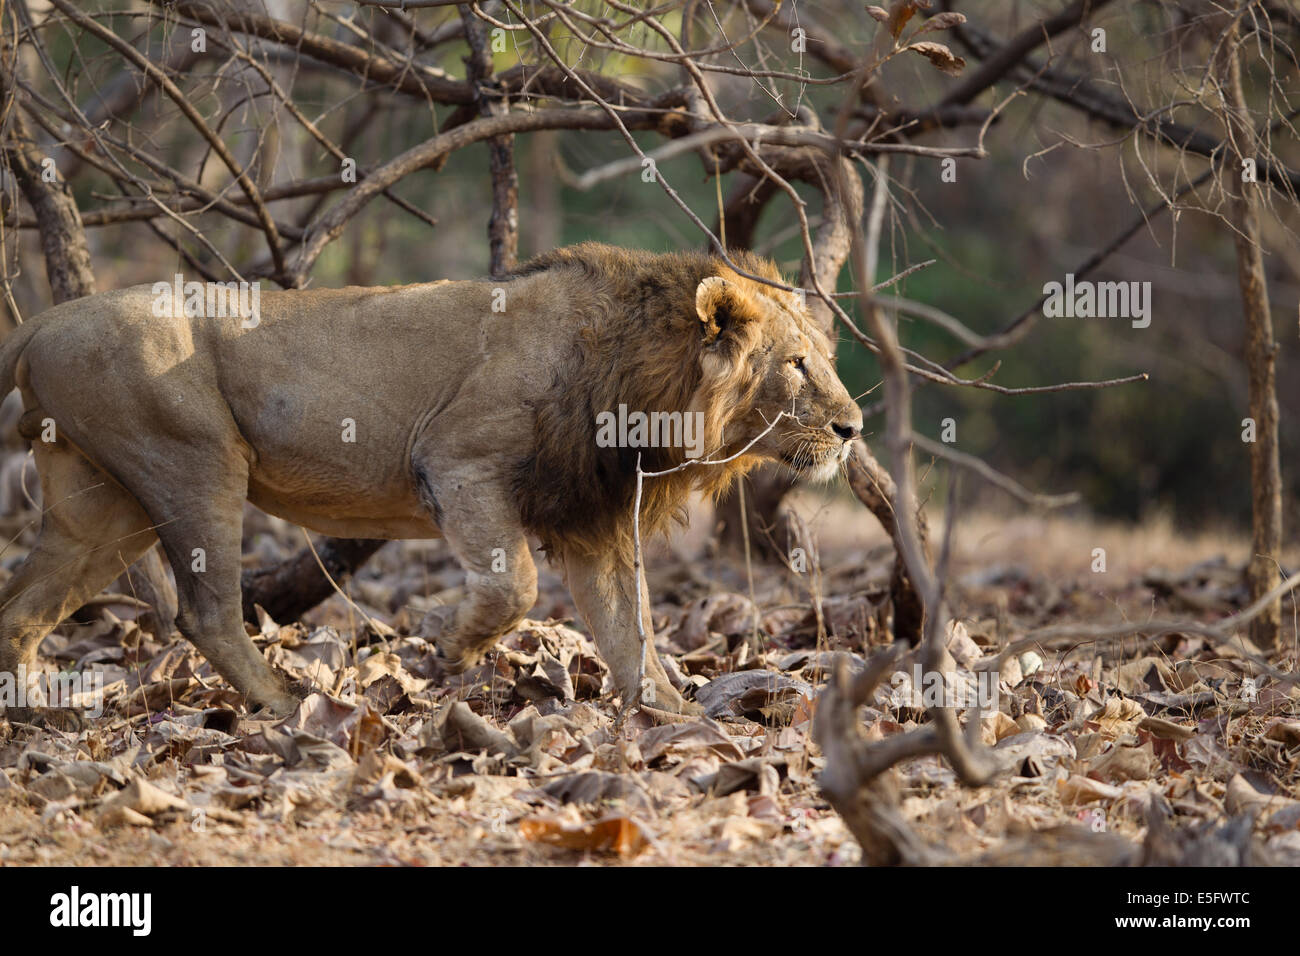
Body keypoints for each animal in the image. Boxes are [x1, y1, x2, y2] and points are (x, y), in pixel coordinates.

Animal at [0, 243, 862, 718]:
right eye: (798, 364)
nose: (853, 428)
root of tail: (43, 321)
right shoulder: (457, 458)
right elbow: (515, 585)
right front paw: (448, 646)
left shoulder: (594, 516)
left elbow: (630, 629)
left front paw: (677, 717)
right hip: (195, 462)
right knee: (204, 612)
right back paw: (283, 704)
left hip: (102, 509)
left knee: (20, 612)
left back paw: (36, 716)